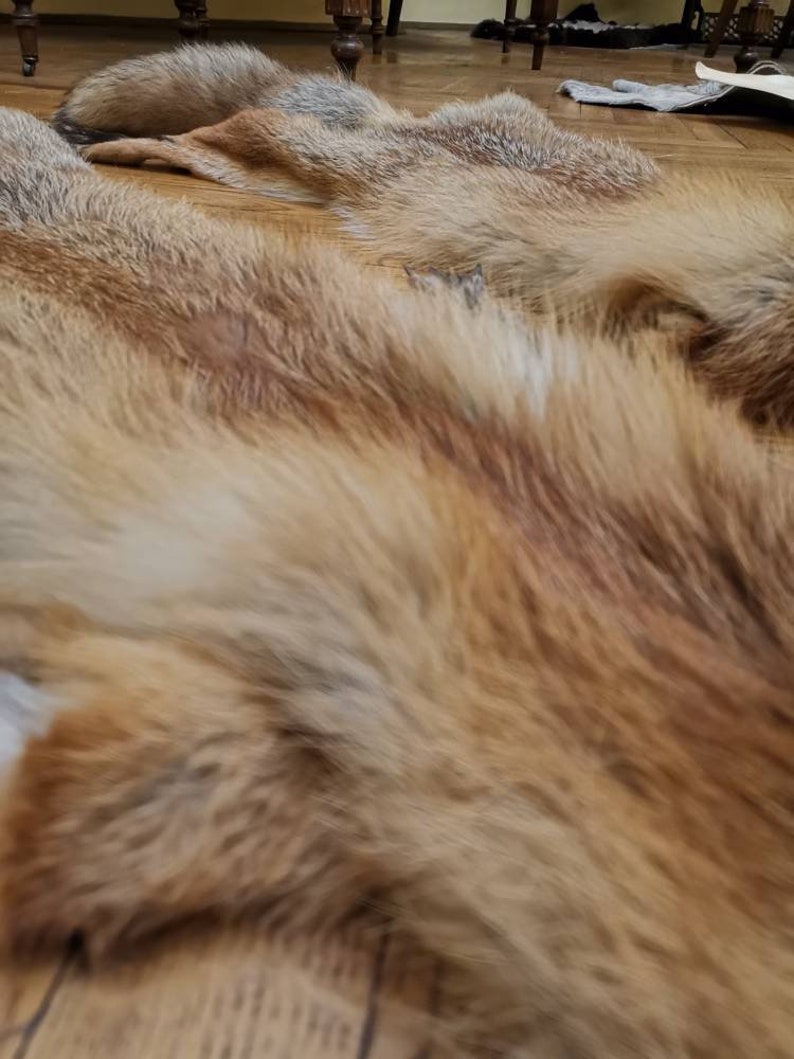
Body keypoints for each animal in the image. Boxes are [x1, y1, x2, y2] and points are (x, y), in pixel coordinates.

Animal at [52, 43, 794, 429]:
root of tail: (402, 122)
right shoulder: (702, 314)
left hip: (291, 179)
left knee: (199, 144)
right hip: (311, 157)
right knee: (218, 127)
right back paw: (96, 141)